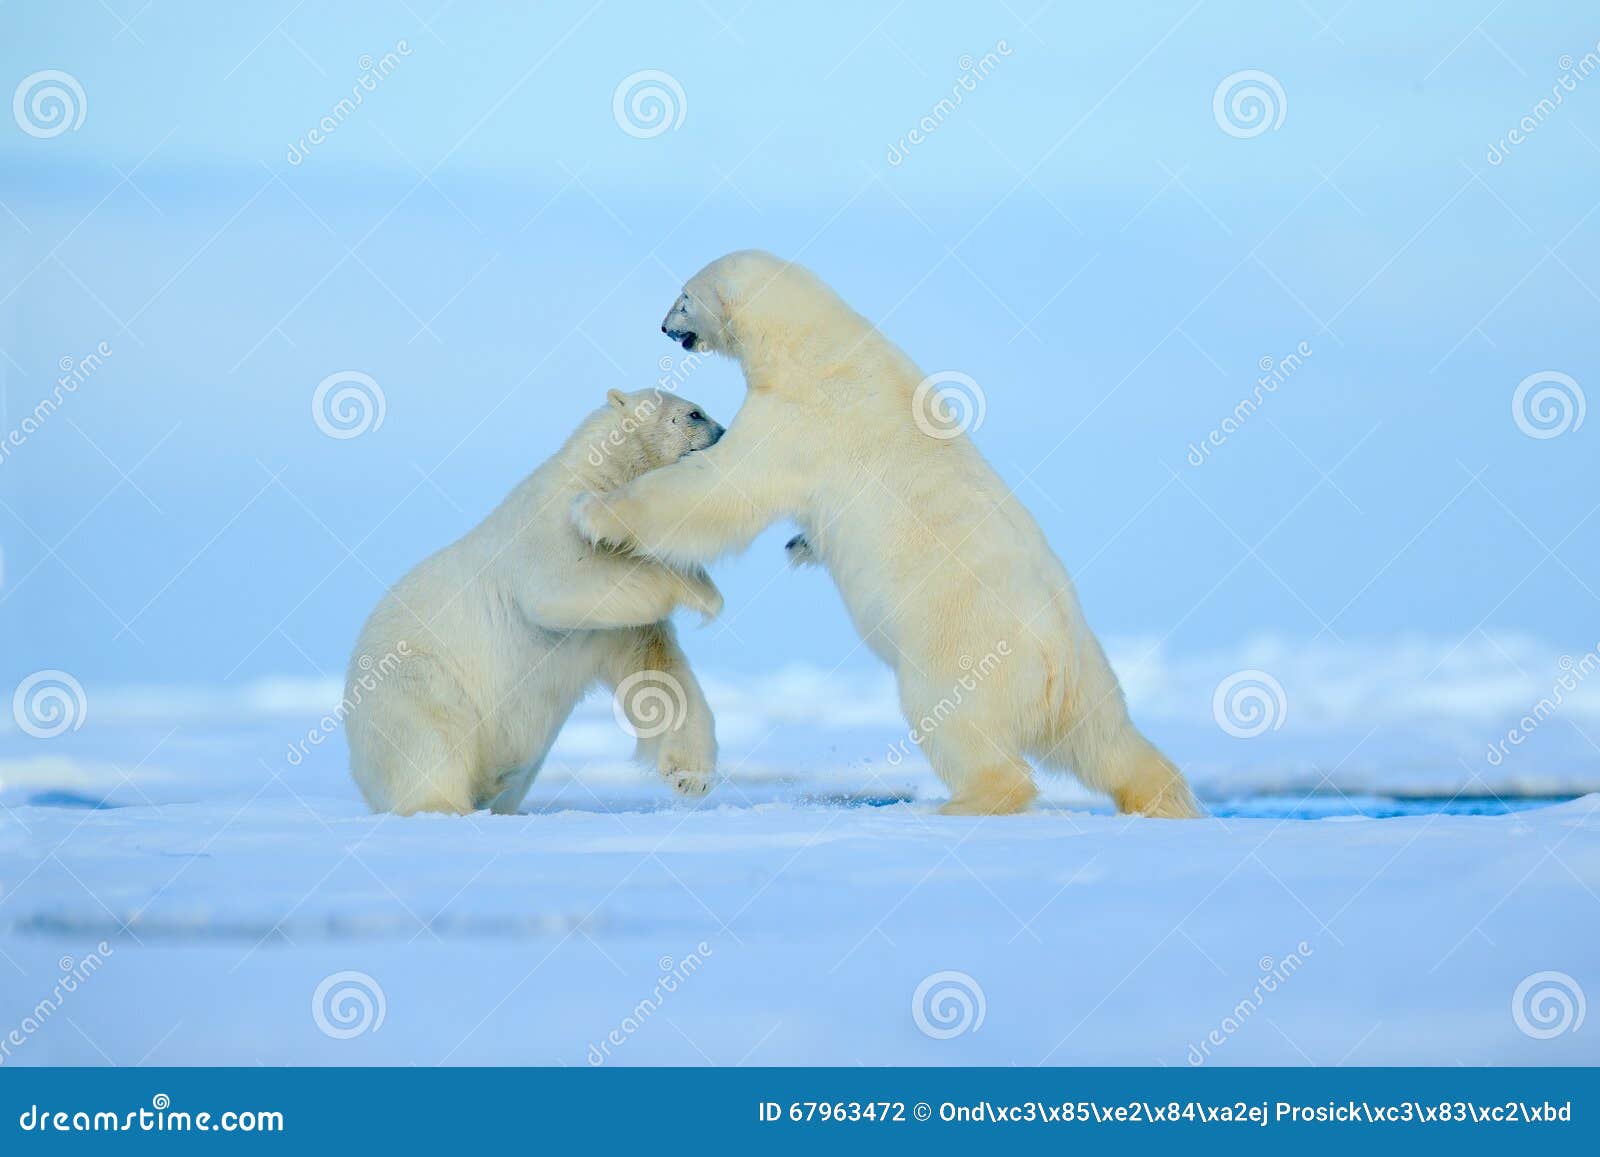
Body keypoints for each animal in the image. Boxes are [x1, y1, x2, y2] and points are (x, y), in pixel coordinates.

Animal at [346, 387, 726, 815]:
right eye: (694, 413)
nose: (722, 431)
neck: (599, 473)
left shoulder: (621, 630)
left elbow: (659, 671)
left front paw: (690, 777)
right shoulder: (550, 524)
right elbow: (558, 585)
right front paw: (701, 592)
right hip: (410, 677)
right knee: (430, 731)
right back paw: (445, 804)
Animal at [572, 250, 1200, 819]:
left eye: (683, 296)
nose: (663, 326)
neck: (819, 349)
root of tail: (1054, 658)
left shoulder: (799, 421)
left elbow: (719, 487)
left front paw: (593, 512)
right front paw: (800, 545)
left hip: (960, 649)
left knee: (956, 725)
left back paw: (961, 803)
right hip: (1091, 677)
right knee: (1108, 743)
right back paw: (1164, 800)